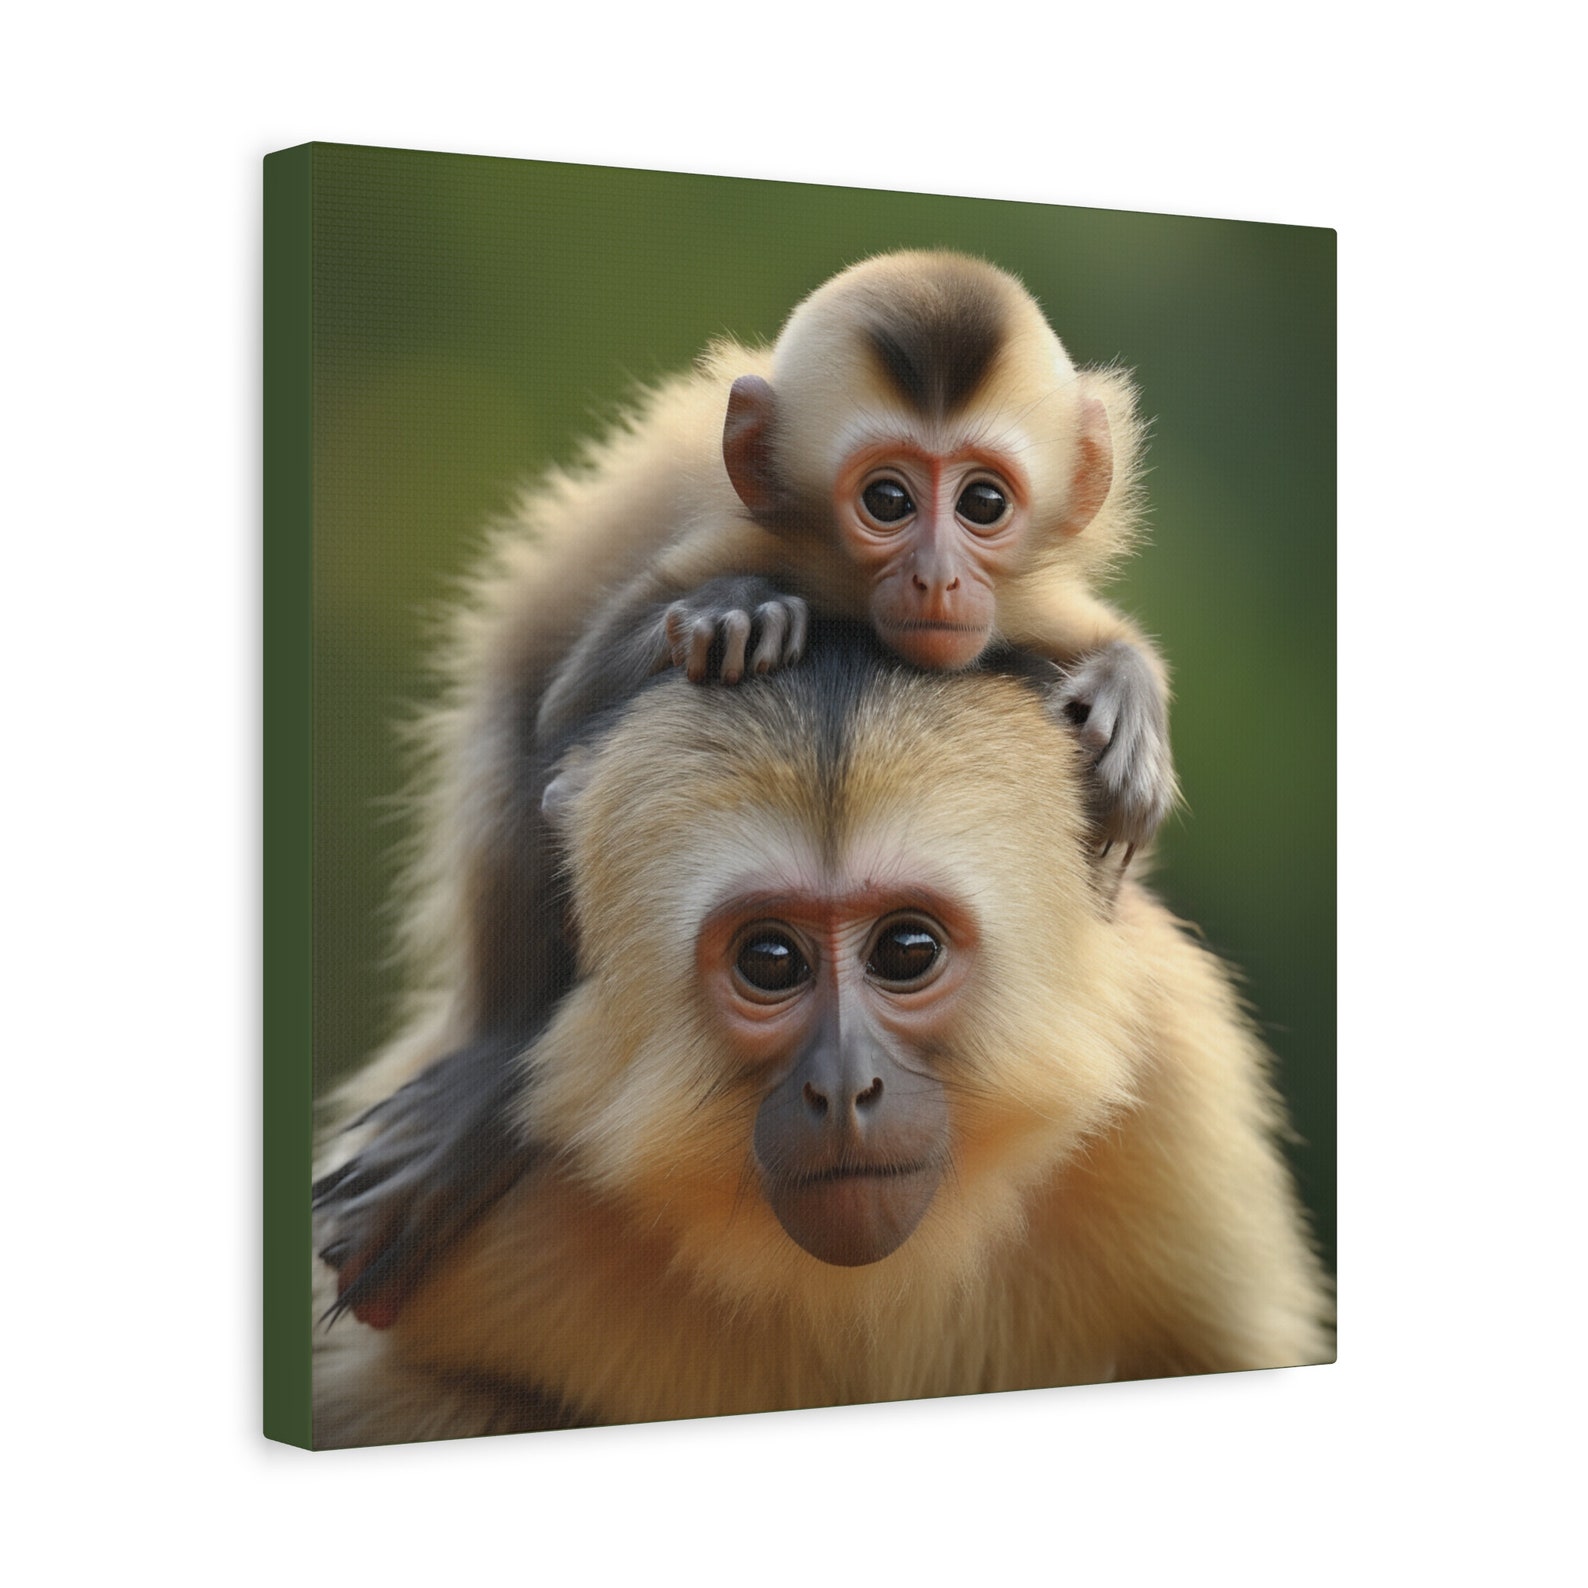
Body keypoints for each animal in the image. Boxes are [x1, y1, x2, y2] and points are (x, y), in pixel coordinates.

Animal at [314, 251, 1176, 1328]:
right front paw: (734, 617)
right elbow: (563, 740)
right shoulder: (714, 542)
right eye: (887, 500)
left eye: (983, 504)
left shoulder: (1021, 595)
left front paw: (1126, 702)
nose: (940, 580)